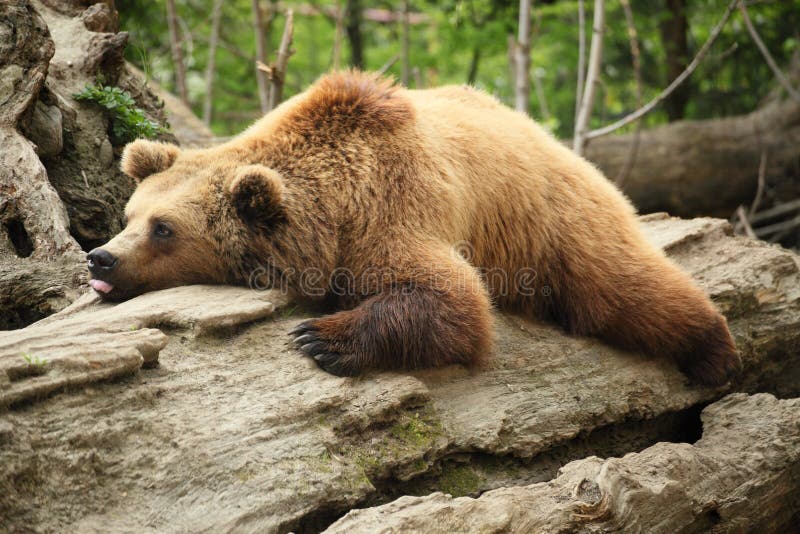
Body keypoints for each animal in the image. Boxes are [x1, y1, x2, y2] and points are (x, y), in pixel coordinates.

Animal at [86, 70, 741, 386]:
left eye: (165, 229)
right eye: (130, 216)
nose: (100, 258)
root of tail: (546, 134)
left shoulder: (390, 209)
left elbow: (449, 297)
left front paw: (322, 338)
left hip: (556, 221)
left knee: (624, 288)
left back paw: (717, 352)